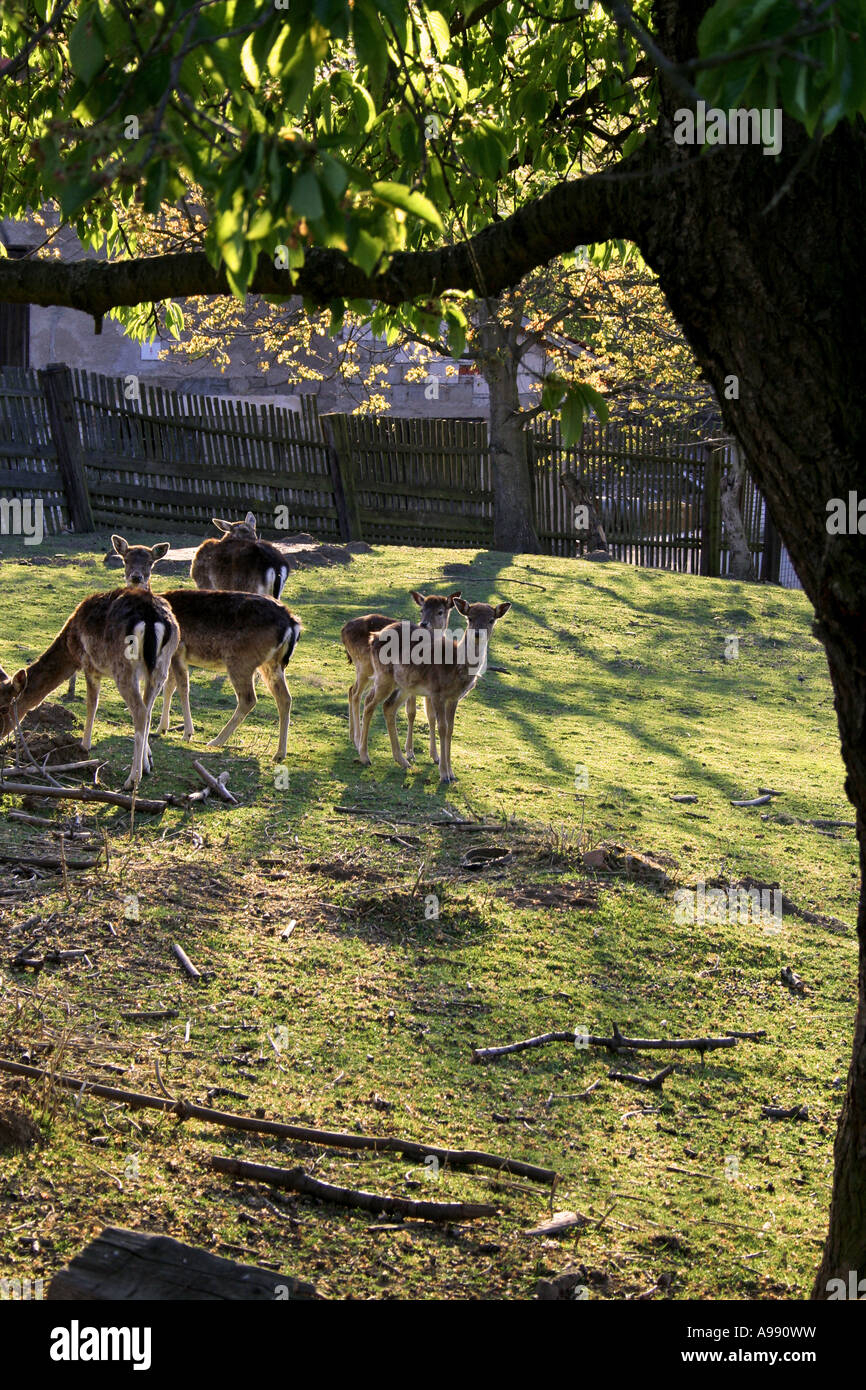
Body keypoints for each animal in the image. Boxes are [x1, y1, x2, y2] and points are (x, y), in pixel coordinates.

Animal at [0, 586, 179, 788]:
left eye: (4, 708)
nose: (0, 734)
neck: (70, 644)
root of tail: (152, 618)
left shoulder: (89, 665)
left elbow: (91, 704)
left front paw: (84, 747)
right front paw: (148, 762)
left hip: (123, 666)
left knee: (139, 711)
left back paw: (131, 780)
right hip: (161, 666)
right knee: (146, 712)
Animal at [91, 537, 302, 760]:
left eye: (150, 561)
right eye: (126, 558)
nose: (136, 576)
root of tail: (293, 623)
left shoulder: (178, 650)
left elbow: (183, 687)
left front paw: (187, 733)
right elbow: (169, 687)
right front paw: (162, 728)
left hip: (241, 659)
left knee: (248, 699)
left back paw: (217, 741)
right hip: (272, 663)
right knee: (285, 698)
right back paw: (279, 753)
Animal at [341, 591, 461, 760]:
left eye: (440, 611)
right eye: (422, 610)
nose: (424, 624)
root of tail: (343, 629)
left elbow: (431, 715)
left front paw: (435, 756)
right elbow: (411, 712)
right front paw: (409, 752)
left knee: (352, 689)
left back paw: (353, 737)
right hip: (365, 666)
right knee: (357, 694)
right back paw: (358, 741)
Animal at [359, 598, 510, 783]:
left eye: (491, 620)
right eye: (470, 618)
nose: (477, 634)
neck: (456, 666)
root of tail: (374, 636)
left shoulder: (454, 698)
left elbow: (451, 728)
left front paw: (451, 773)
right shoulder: (436, 692)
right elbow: (442, 727)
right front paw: (443, 774)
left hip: (405, 685)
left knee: (388, 707)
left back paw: (403, 761)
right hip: (384, 676)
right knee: (369, 703)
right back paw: (365, 757)